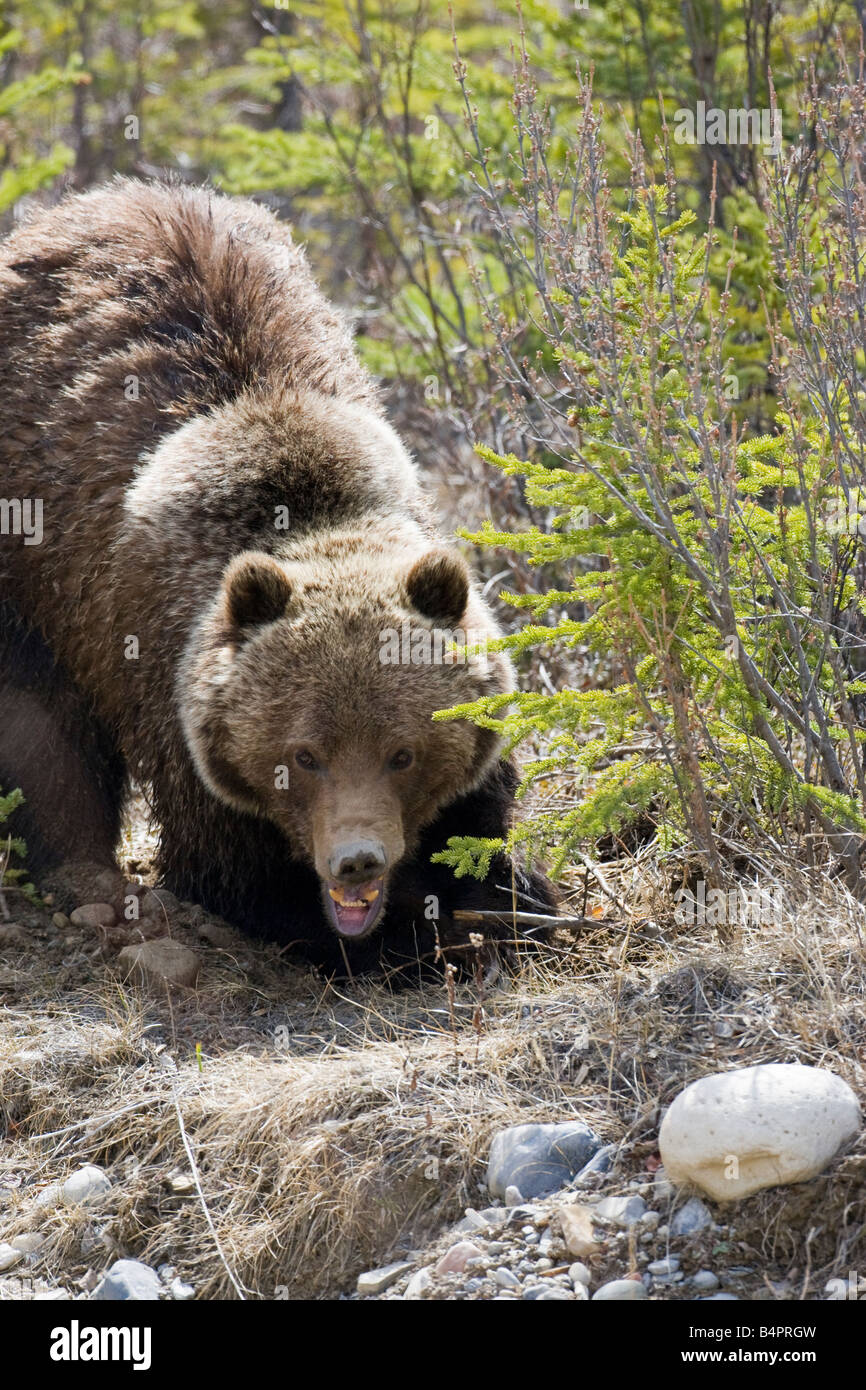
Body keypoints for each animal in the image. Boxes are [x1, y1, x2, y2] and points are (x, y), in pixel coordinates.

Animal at [0, 178, 556, 975]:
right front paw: (408, 931)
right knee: (40, 723)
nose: (356, 859)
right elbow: (235, 872)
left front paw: (510, 890)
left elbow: (478, 817)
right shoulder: (167, 682)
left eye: (403, 752)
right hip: (32, 570)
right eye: (303, 755)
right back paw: (82, 872)